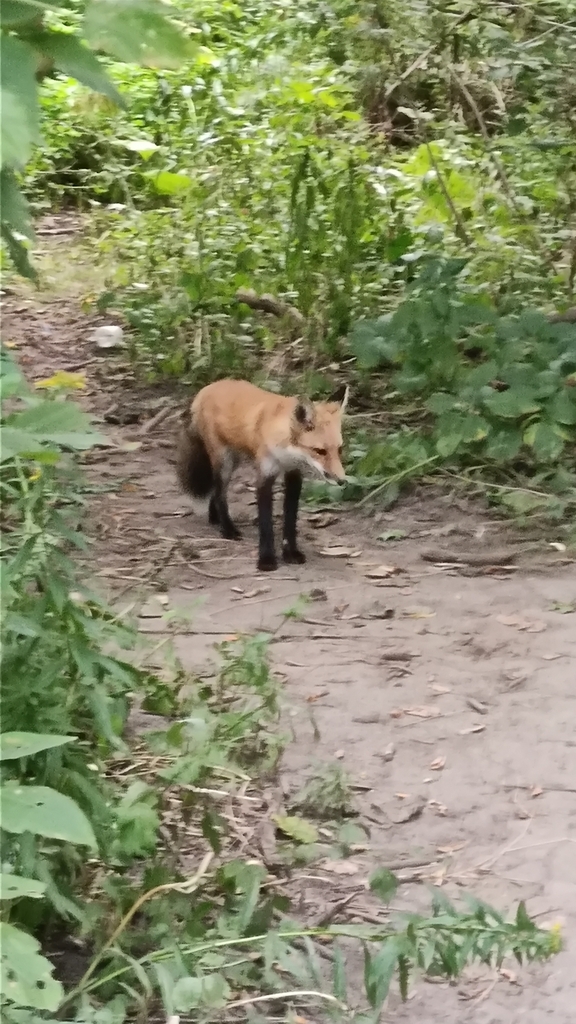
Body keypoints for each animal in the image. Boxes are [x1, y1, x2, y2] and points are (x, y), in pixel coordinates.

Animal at [176, 379, 349, 572]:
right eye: (320, 451)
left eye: (339, 449)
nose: (342, 481)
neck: (285, 453)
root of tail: (208, 388)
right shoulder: (264, 477)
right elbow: (266, 523)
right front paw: (266, 559)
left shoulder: (294, 477)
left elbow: (290, 520)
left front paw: (290, 553)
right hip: (224, 462)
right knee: (220, 493)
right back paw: (228, 529)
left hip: (235, 460)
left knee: (215, 490)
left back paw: (215, 518)